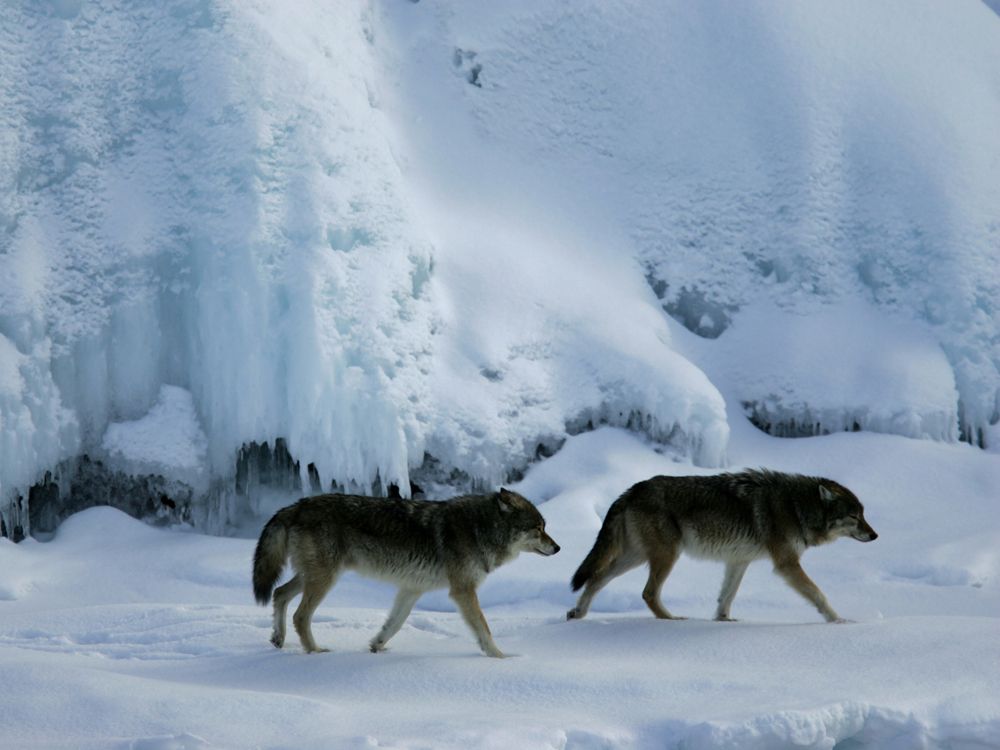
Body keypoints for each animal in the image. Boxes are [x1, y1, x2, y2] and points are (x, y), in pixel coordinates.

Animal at [253, 488, 559, 657]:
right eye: (538, 529)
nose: (558, 548)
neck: (479, 528)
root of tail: (296, 505)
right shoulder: (463, 591)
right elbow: (484, 629)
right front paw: (501, 657)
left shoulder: (412, 589)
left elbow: (394, 624)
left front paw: (376, 647)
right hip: (324, 579)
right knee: (300, 615)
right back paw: (315, 652)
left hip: (313, 577)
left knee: (279, 593)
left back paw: (278, 639)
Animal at [567, 469, 876, 623]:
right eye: (854, 517)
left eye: (864, 515)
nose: (875, 536)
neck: (795, 506)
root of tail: (632, 489)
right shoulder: (787, 564)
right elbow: (819, 594)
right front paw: (839, 621)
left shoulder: (738, 561)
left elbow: (727, 596)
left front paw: (724, 621)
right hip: (666, 555)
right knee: (648, 593)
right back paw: (672, 619)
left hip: (635, 557)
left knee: (595, 578)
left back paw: (577, 614)